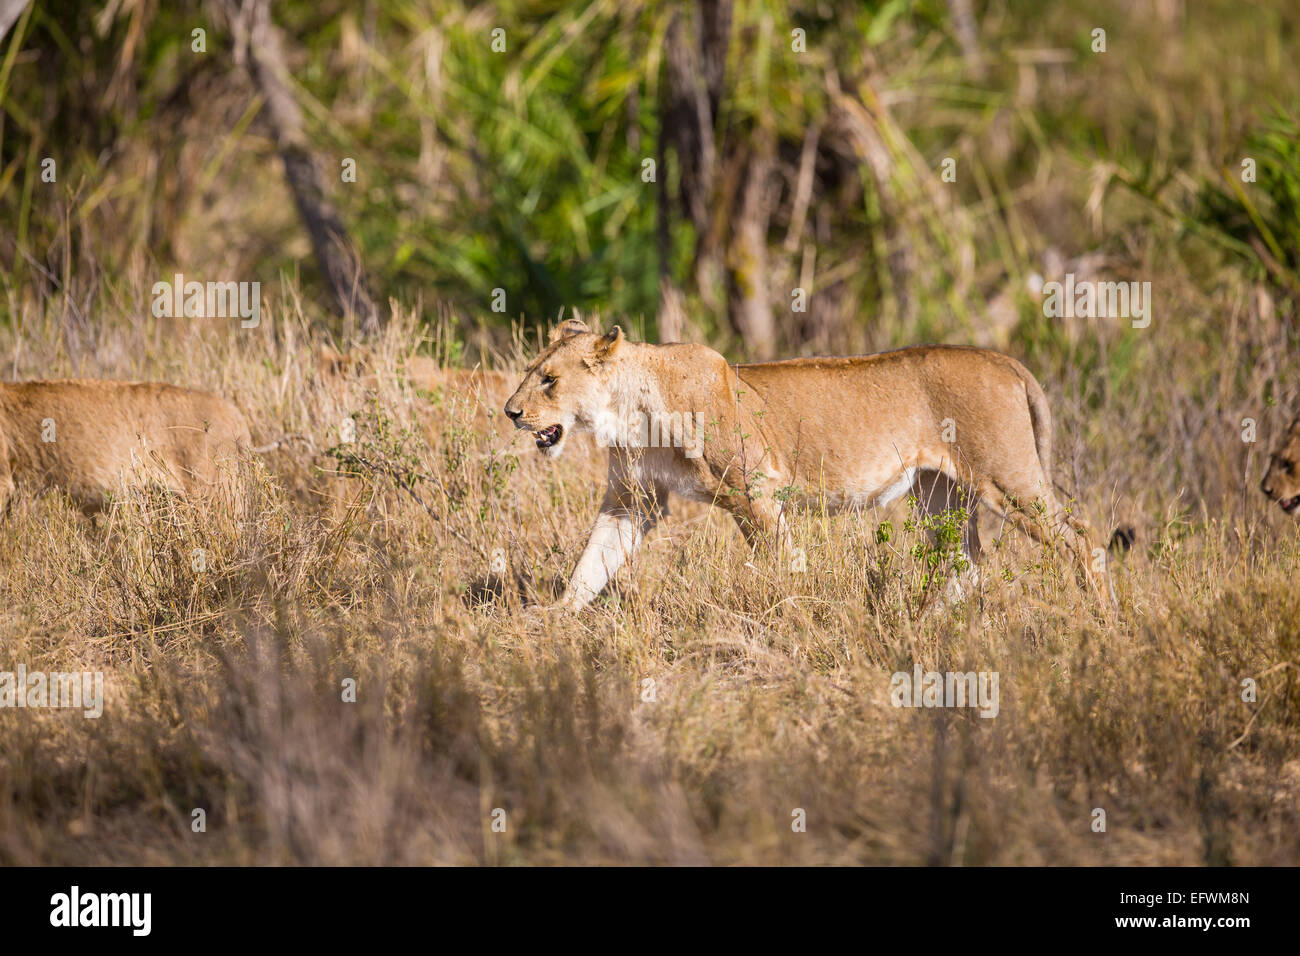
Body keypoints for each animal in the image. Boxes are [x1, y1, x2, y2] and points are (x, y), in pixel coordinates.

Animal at [504, 319, 1108, 610]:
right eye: (531, 371)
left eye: (549, 380)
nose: (511, 413)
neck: (629, 410)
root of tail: (1003, 358)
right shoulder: (633, 502)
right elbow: (591, 564)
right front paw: (554, 620)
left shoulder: (756, 491)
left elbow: (782, 563)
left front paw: (791, 610)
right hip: (940, 493)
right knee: (968, 563)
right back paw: (925, 625)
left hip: (1009, 480)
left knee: (1085, 540)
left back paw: (1103, 621)